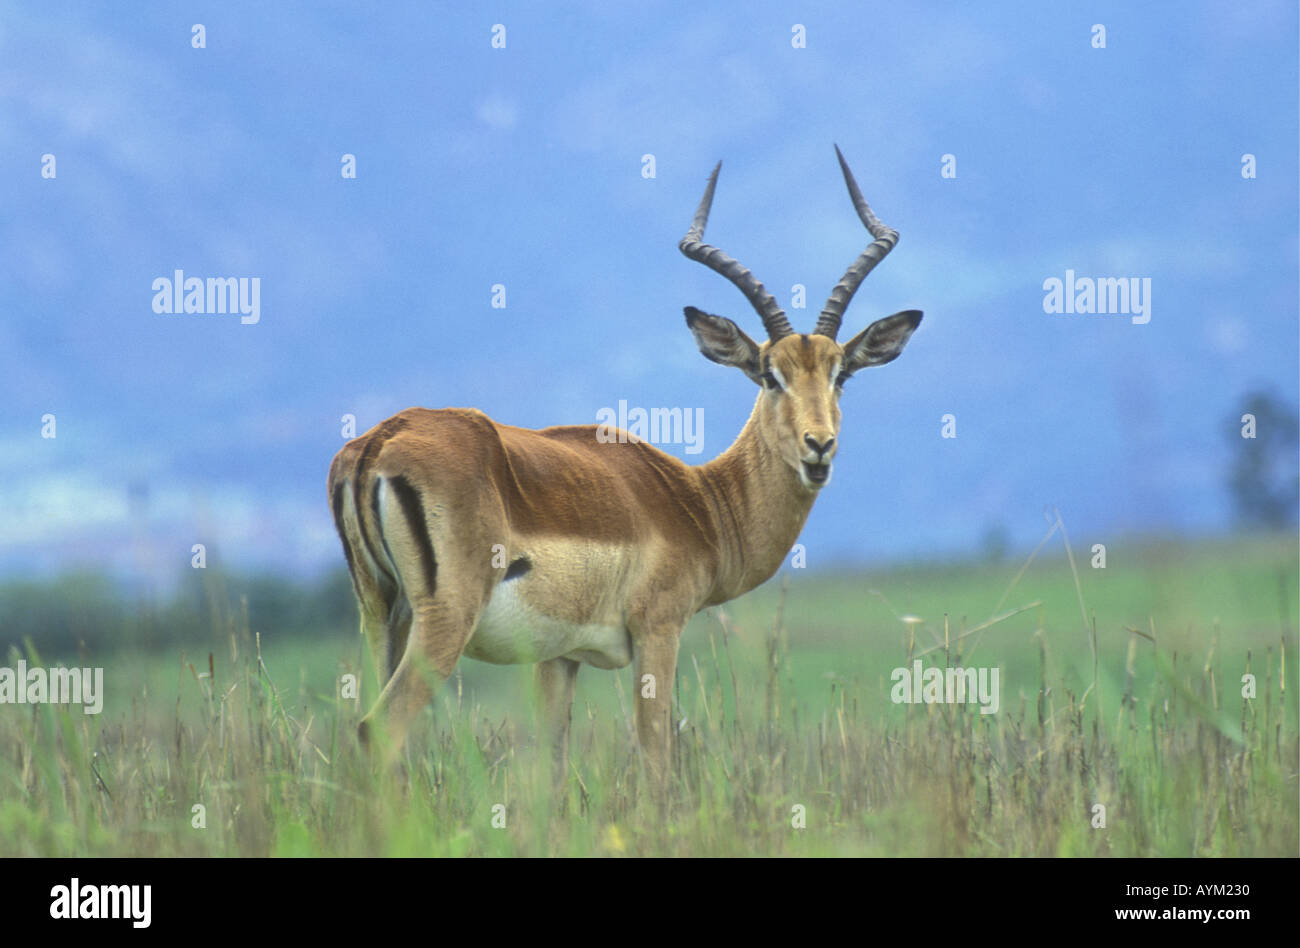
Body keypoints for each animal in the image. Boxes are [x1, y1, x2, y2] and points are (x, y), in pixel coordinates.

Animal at [328, 146, 922, 786]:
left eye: (841, 374)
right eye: (770, 374)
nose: (819, 445)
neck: (701, 503)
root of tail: (377, 444)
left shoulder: (559, 657)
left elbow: (553, 769)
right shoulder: (658, 631)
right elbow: (657, 758)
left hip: (381, 616)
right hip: (442, 623)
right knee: (375, 732)